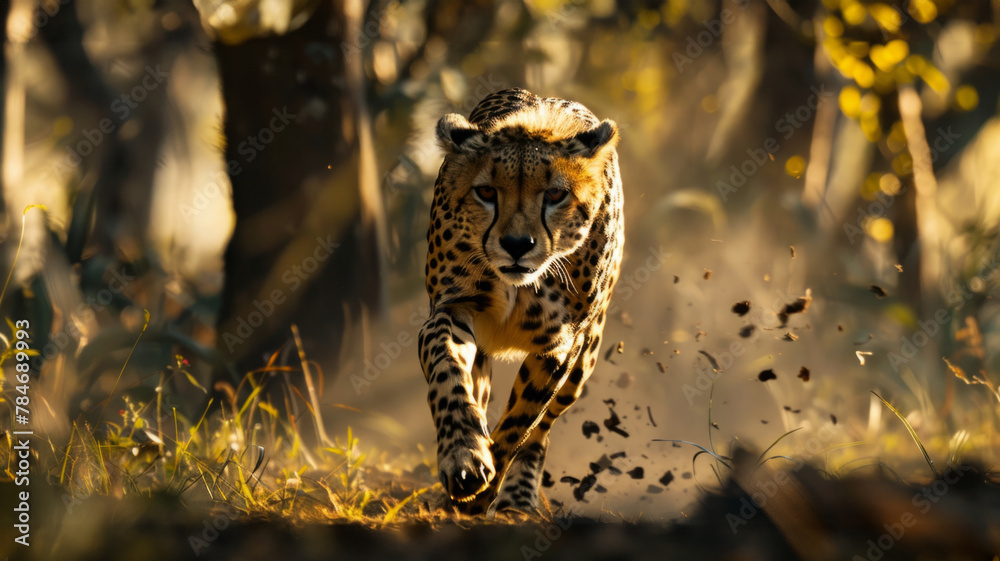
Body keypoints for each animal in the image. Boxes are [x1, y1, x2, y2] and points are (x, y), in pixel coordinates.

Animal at [418, 87, 624, 516]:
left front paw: (483, 492)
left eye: (556, 194)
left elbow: (523, 421)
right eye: (485, 192)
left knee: (542, 429)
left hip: (583, 363)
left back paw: (517, 498)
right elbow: (446, 369)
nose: (516, 245)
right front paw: (463, 455)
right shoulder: (452, 307)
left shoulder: (559, 345)